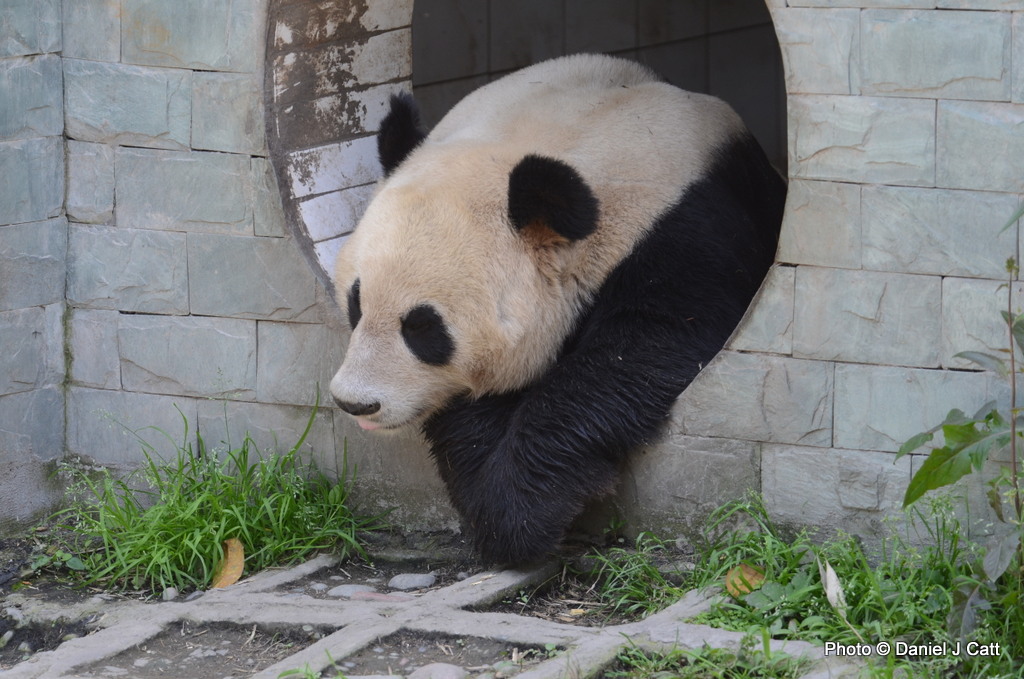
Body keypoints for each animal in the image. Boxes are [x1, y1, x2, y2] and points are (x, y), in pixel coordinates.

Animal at [329, 54, 785, 565]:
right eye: (355, 304)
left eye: (423, 327)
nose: (355, 402)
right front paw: (491, 500)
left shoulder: (681, 230)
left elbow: (637, 353)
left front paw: (519, 514)